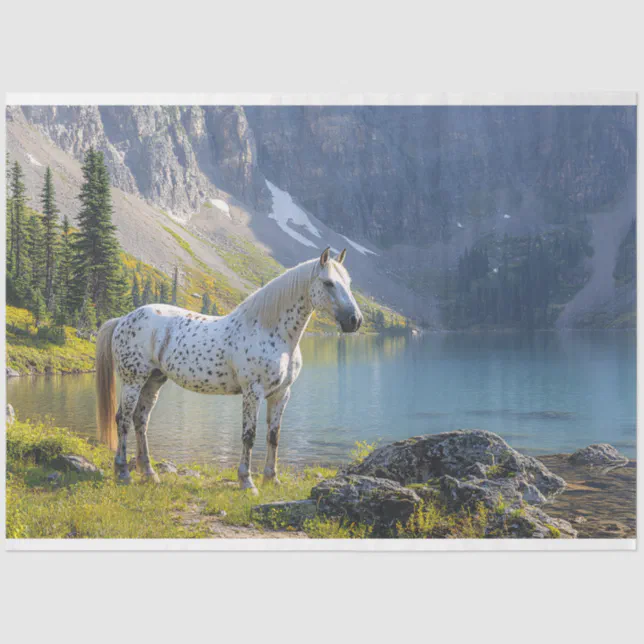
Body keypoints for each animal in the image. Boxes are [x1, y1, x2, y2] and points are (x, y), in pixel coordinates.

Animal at [95, 246, 363, 494]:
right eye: (328, 283)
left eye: (349, 283)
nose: (355, 320)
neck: (271, 330)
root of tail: (122, 319)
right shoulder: (253, 392)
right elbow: (249, 435)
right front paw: (247, 482)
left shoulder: (281, 394)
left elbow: (273, 436)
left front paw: (271, 479)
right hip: (133, 380)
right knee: (123, 420)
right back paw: (123, 472)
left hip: (153, 380)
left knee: (140, 420)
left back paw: (150, 473)